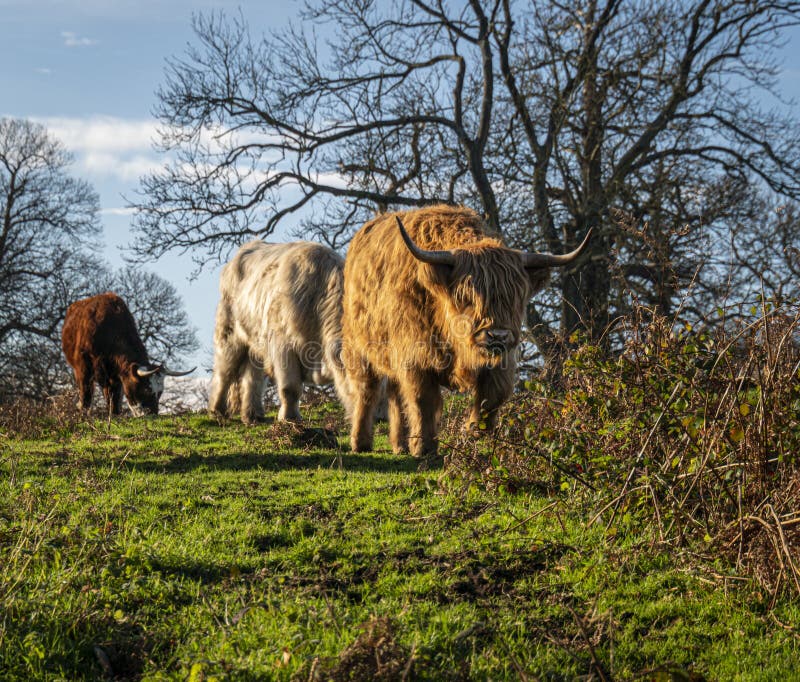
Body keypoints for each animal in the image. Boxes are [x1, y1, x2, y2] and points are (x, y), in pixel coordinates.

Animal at [62, 292, 194, 416]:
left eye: (160, 392)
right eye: (146, 389)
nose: (152, 414)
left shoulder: (115, 377)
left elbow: (114, 402)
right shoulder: (83, 369)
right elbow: (86, 398)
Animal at [208, 240, 353, 424]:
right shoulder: (283, 345)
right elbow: (290, 388)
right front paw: (289, 418)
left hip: (256, 345)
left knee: (252, 378)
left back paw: (253, 415)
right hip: (229, 334)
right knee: (224, 372)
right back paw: (217, 410)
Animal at [342, 204, 592, 457]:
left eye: (516, 298)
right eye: (468, 297)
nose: (497, 335)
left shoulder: (502, 360)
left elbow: (493, 396)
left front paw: (475, 435)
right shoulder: (415, 355)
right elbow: (422, 399)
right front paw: (424, 447)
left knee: (395, 393)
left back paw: (400, 444)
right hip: (359, 347)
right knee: (367, 391)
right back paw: (360, 442)